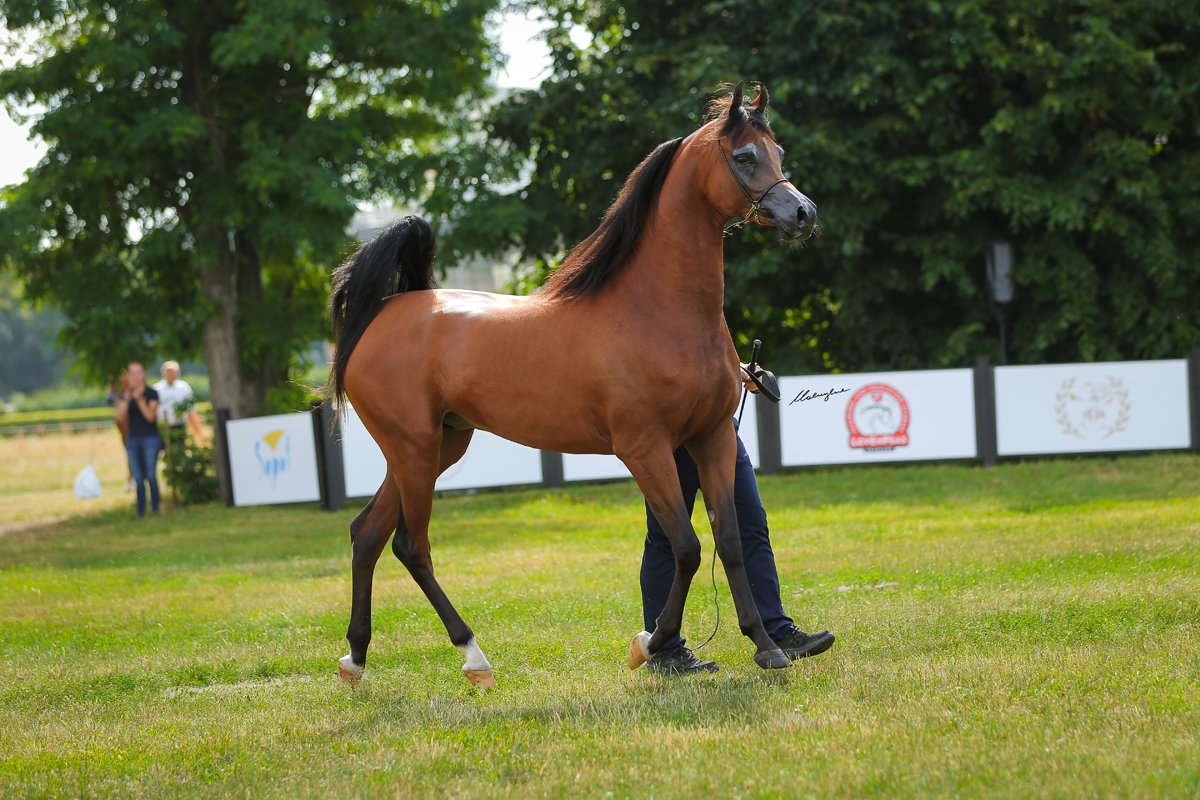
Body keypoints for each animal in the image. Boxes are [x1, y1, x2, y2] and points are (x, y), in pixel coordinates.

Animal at [328, 81, 817, 688]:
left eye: (778, 153)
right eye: (746, 156)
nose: (803, 213)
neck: (657, 311)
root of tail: (383, 314)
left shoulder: (712, 438)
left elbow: (728, 541)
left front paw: (766, 646)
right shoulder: (644, 449)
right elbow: (684, 547)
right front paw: (650, 644)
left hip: (438, 446)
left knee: (367, 533)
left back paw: (356, 657)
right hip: (414, 450)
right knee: (410, 545)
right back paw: (473, 656)